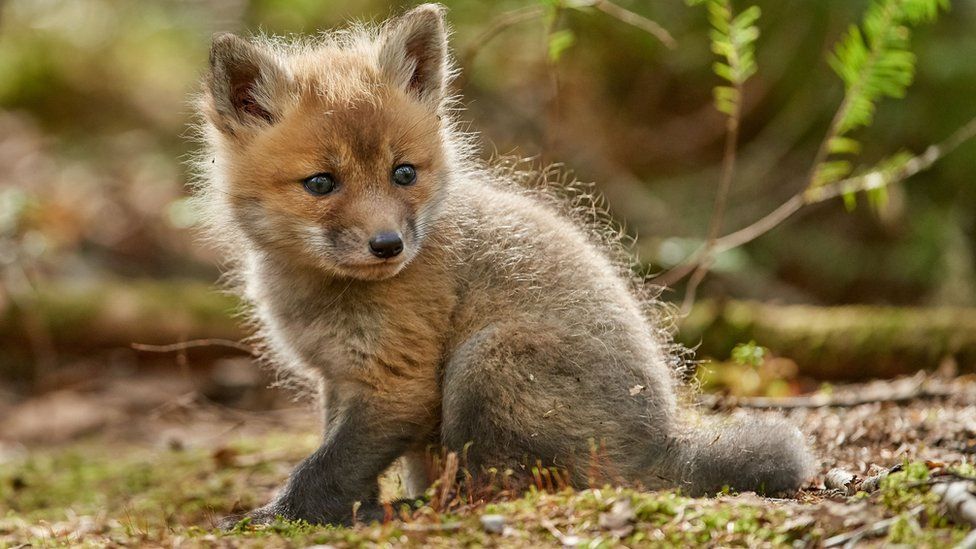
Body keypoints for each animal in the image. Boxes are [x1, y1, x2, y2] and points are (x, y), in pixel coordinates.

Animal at [191, 3, 815, 526]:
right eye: (321, 183)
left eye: (403, 173)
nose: (388, 246)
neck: (322, 292)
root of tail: (659, 448)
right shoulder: (339, 377)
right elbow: (341, 460)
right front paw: (345, 508)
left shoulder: (397, 382)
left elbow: (323, 468)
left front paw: (278, 516)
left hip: (487, 361)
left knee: (502, 487)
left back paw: (420, 509)